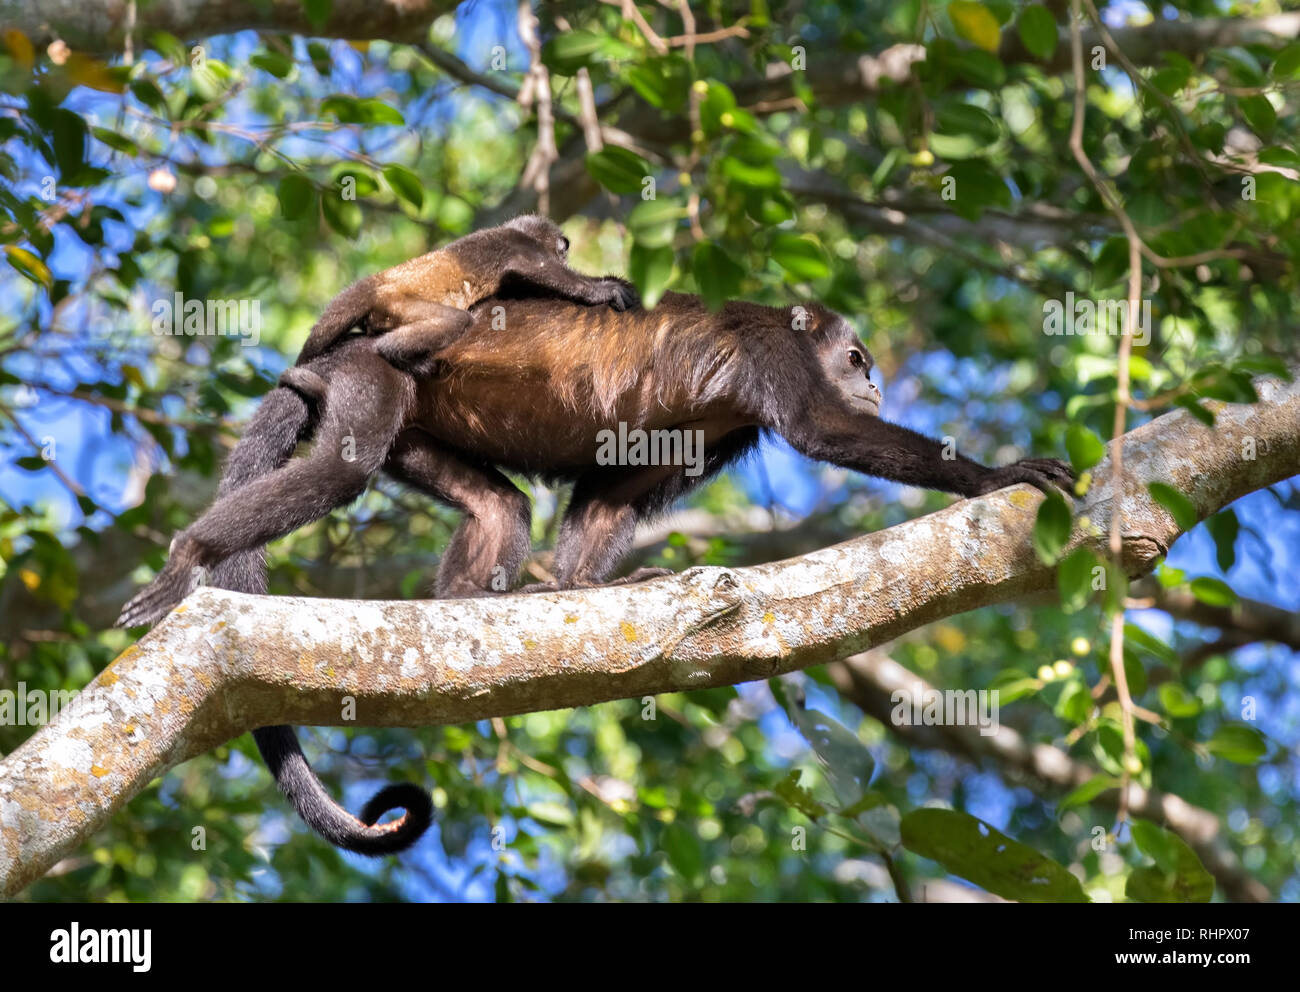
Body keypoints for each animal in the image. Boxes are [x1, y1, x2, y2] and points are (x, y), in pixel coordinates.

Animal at [117, 287, 1073, 853]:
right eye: (856, 358)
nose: (875, 384)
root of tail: (326, 358)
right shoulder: (771, 353)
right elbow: (824, 433)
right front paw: (994, 476)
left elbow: (614, 492)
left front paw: (587, 584)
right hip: (368, 381)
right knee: (343, 471)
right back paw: (192, 556)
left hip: (417, 428)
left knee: (499, 509)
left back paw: (468, 605)